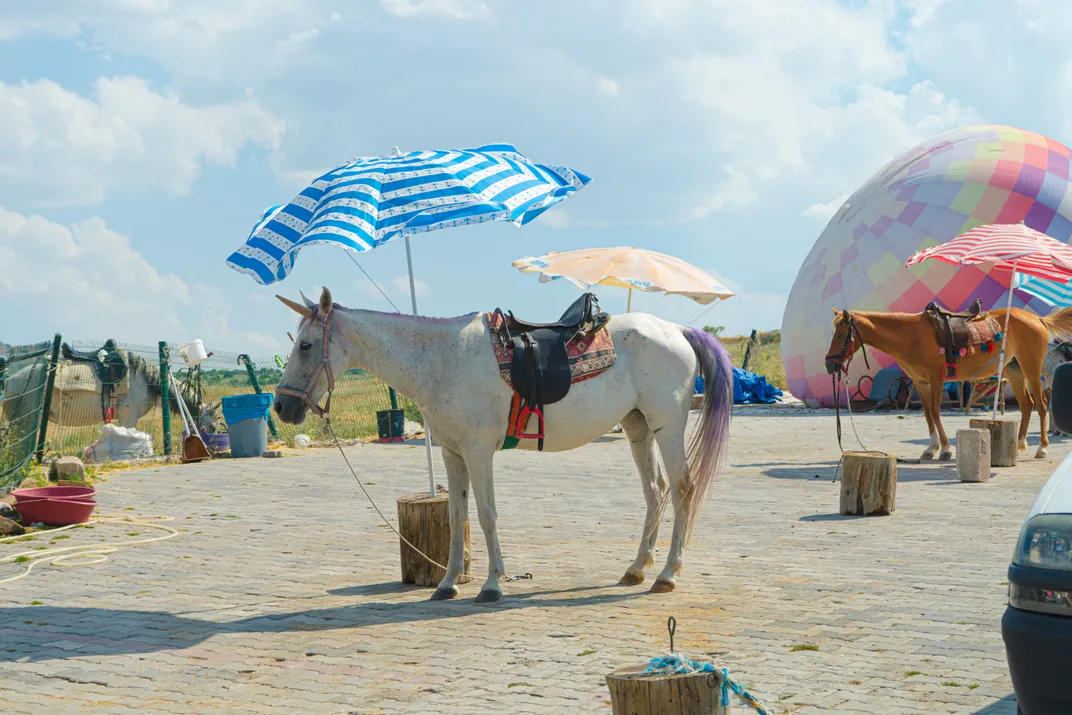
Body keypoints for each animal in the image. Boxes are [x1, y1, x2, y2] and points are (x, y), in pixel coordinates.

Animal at [272, 287, 734, 603]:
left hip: (667, 426)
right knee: (655, 491)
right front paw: (447, 583)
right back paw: (636, 569)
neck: (442, 360)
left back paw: (667, 574)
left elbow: (486, 514)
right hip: (638, 427)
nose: (280, 407)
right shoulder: (453, 454)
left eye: (307, 345)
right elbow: (457, 517)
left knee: (682, 489)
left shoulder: (478, 452)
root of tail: (677, 330)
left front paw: (493, 584)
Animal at [826, 306, 1072, 461]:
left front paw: (944, 449)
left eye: (841, 335)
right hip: (1015, 371)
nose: (830, 365)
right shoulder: (920, 382)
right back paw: (1020, 445)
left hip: (1032, 368)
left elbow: (935, 411)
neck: (911, 336)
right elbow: (927, 414)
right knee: (1027, 405)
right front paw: (930, 448)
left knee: (1041, 404)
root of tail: (1038, 319)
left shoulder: (936, 378)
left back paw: (1042, 449)